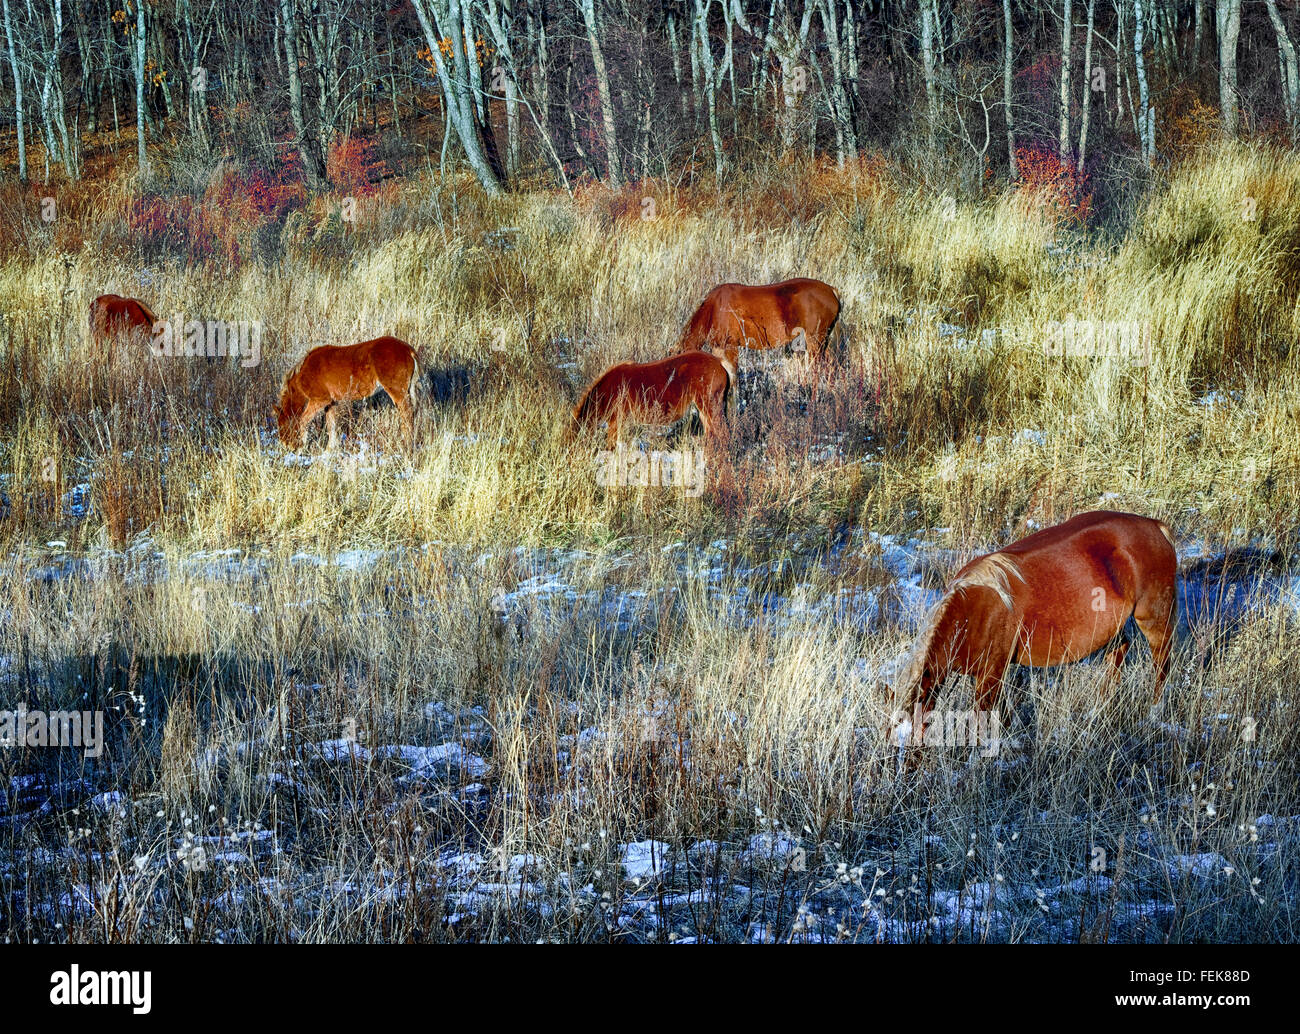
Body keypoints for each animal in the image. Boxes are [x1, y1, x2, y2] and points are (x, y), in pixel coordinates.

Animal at [274, 337, 418, 453]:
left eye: (283, 425)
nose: (286, 446)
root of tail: (408, 349)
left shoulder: (319, 400)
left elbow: (303, 421)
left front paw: (301, 448)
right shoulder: (330, 403)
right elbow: (331, 426)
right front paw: (329, 451)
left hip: (398, 393)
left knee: (407, 415)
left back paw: (407, 446)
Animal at [675, 278, 841, 374]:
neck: (713, 308)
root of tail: (832, 290)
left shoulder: (731, 346)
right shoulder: (718, 348)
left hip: (815, 339)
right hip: (824, 340)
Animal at [891, 511, 1177, 725]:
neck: (973, 610)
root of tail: (1154, 525)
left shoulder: (991, 674)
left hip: (1155, 618)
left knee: (1162, 663)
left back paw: (1155, 712)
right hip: (1113, 627)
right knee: (1119, 652)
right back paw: (1102, 707)